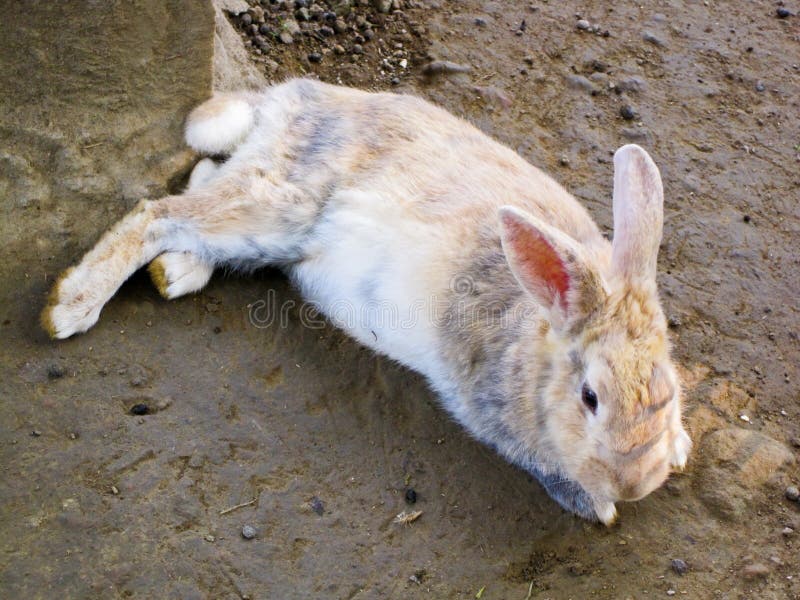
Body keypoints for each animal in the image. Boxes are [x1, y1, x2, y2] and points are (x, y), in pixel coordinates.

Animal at [41, 78, 691, 524]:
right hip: (279, 208)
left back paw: (175, 272)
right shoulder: (482, 403)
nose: (634, 483)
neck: (539, 331)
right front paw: (597, 504)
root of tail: (289, 98)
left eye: (669, 389)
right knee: (158, 213)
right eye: (590, 398)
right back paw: (70, 307)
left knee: (202, 180)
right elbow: (533, 458)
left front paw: (678, 449)